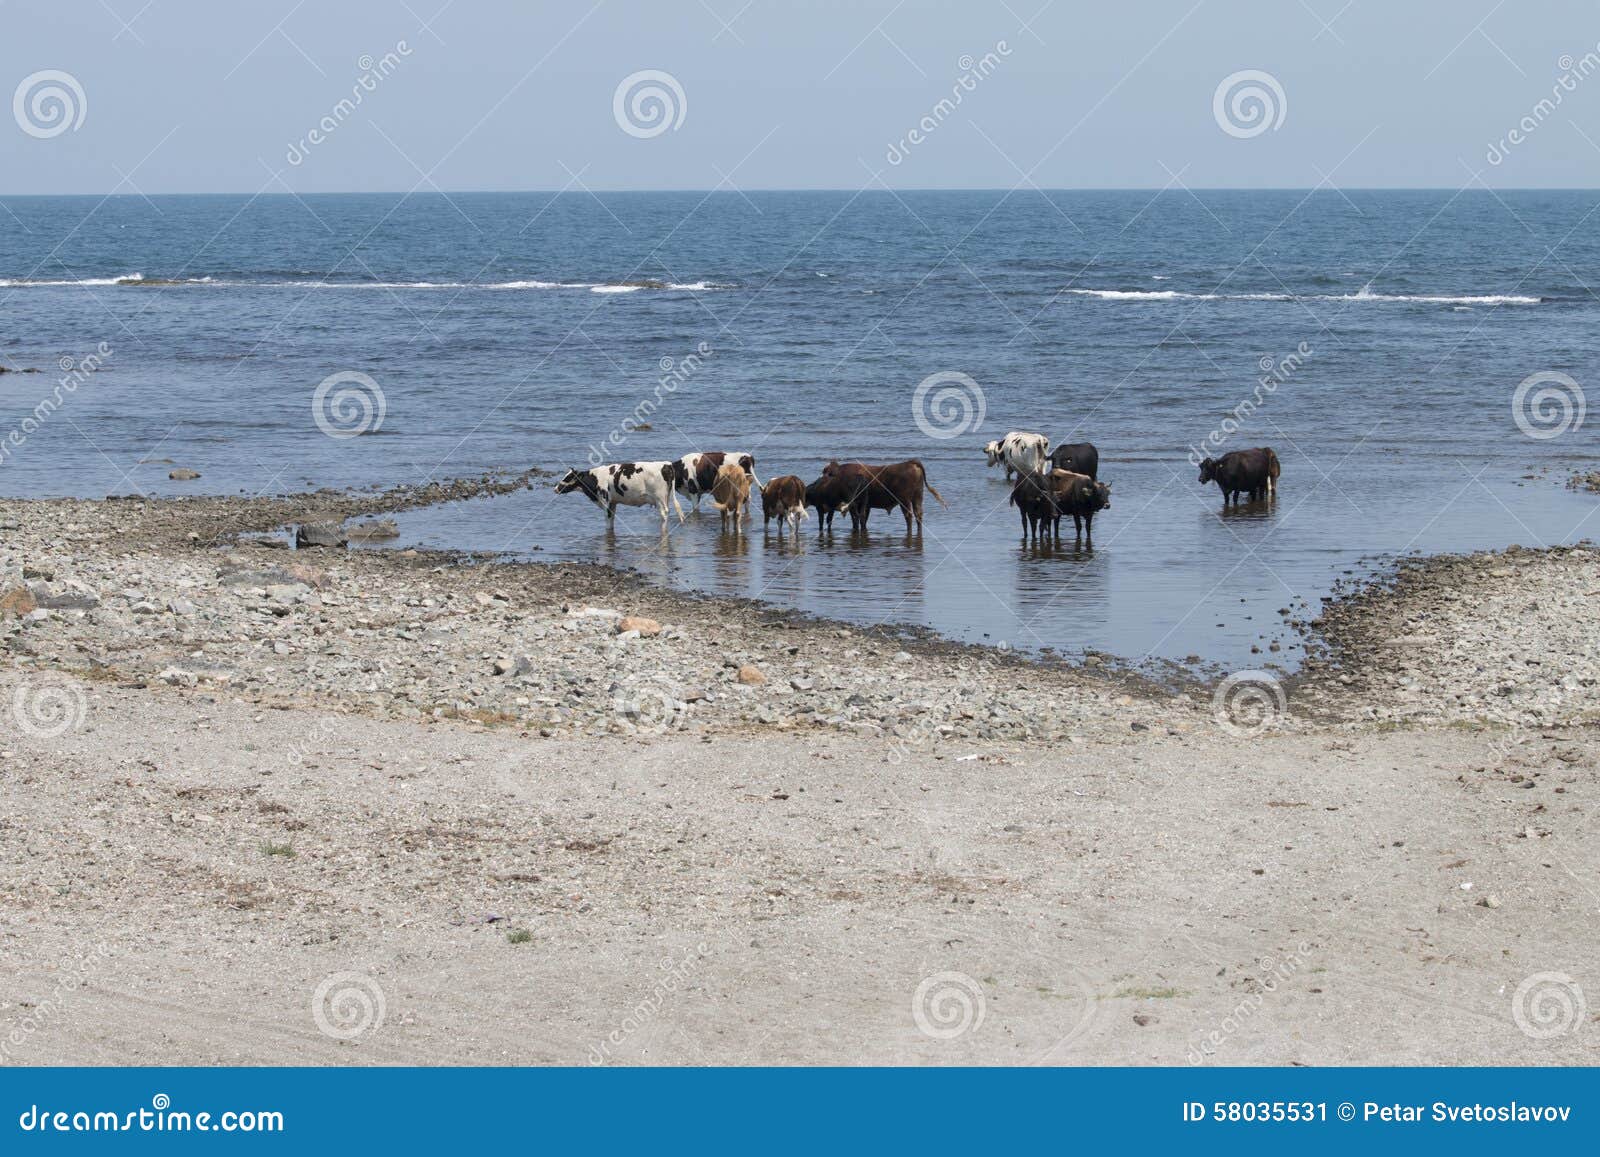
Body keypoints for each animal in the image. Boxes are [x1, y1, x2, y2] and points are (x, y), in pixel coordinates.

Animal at [556, 460, 686, 529]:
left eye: (568, 477)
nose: (556, 488)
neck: (596, 478)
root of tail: (666, 464)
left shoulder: (606, 501)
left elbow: (608, 520)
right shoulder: (613, 502)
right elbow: (612, 519)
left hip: (659, 498)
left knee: (664, 514)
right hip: (666, 497)